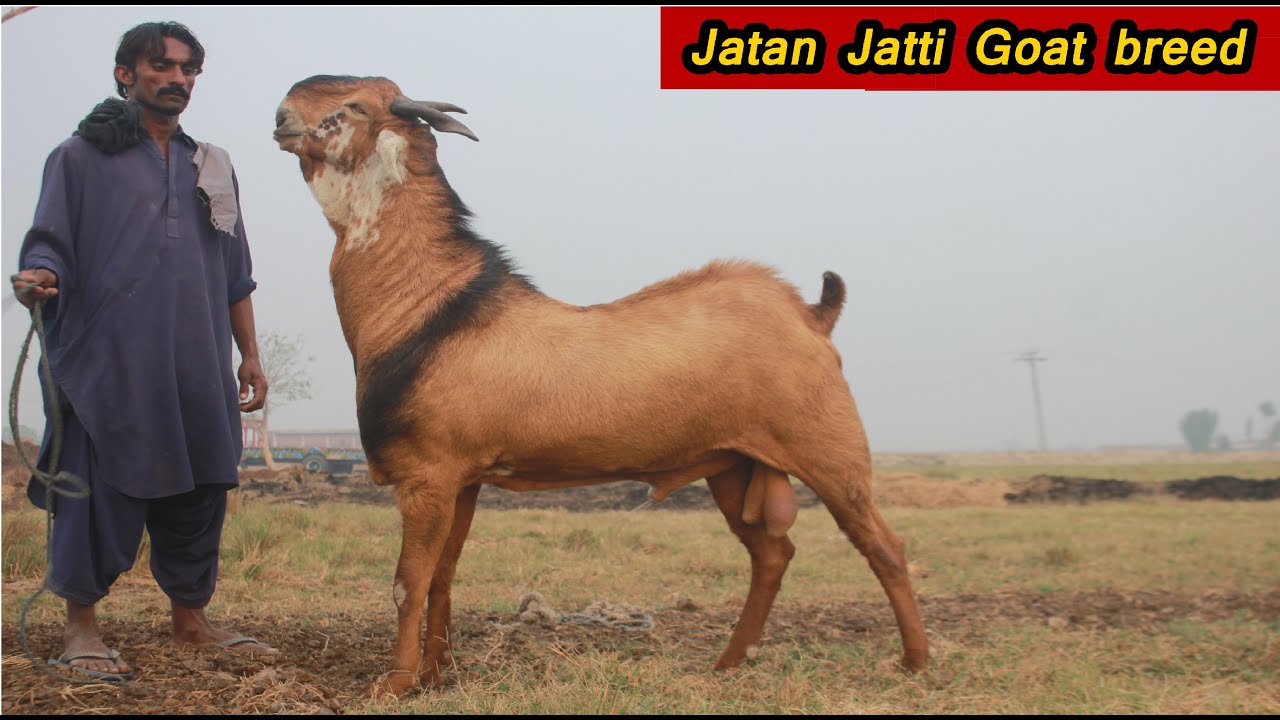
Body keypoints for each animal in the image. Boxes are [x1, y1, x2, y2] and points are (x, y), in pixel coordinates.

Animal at [273, 75, 929, 697]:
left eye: (356, 107)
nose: (281, 116)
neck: (430, 303)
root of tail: (809, 316)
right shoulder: (460, 479)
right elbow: (441, 575)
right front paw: (434, 676)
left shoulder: (427, 475)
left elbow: (407, 582)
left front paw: (395, 684)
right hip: (733, 464)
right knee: (772, 554)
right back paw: (727, 663)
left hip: (828, 449)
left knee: (883, 546)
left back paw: (916, 661)